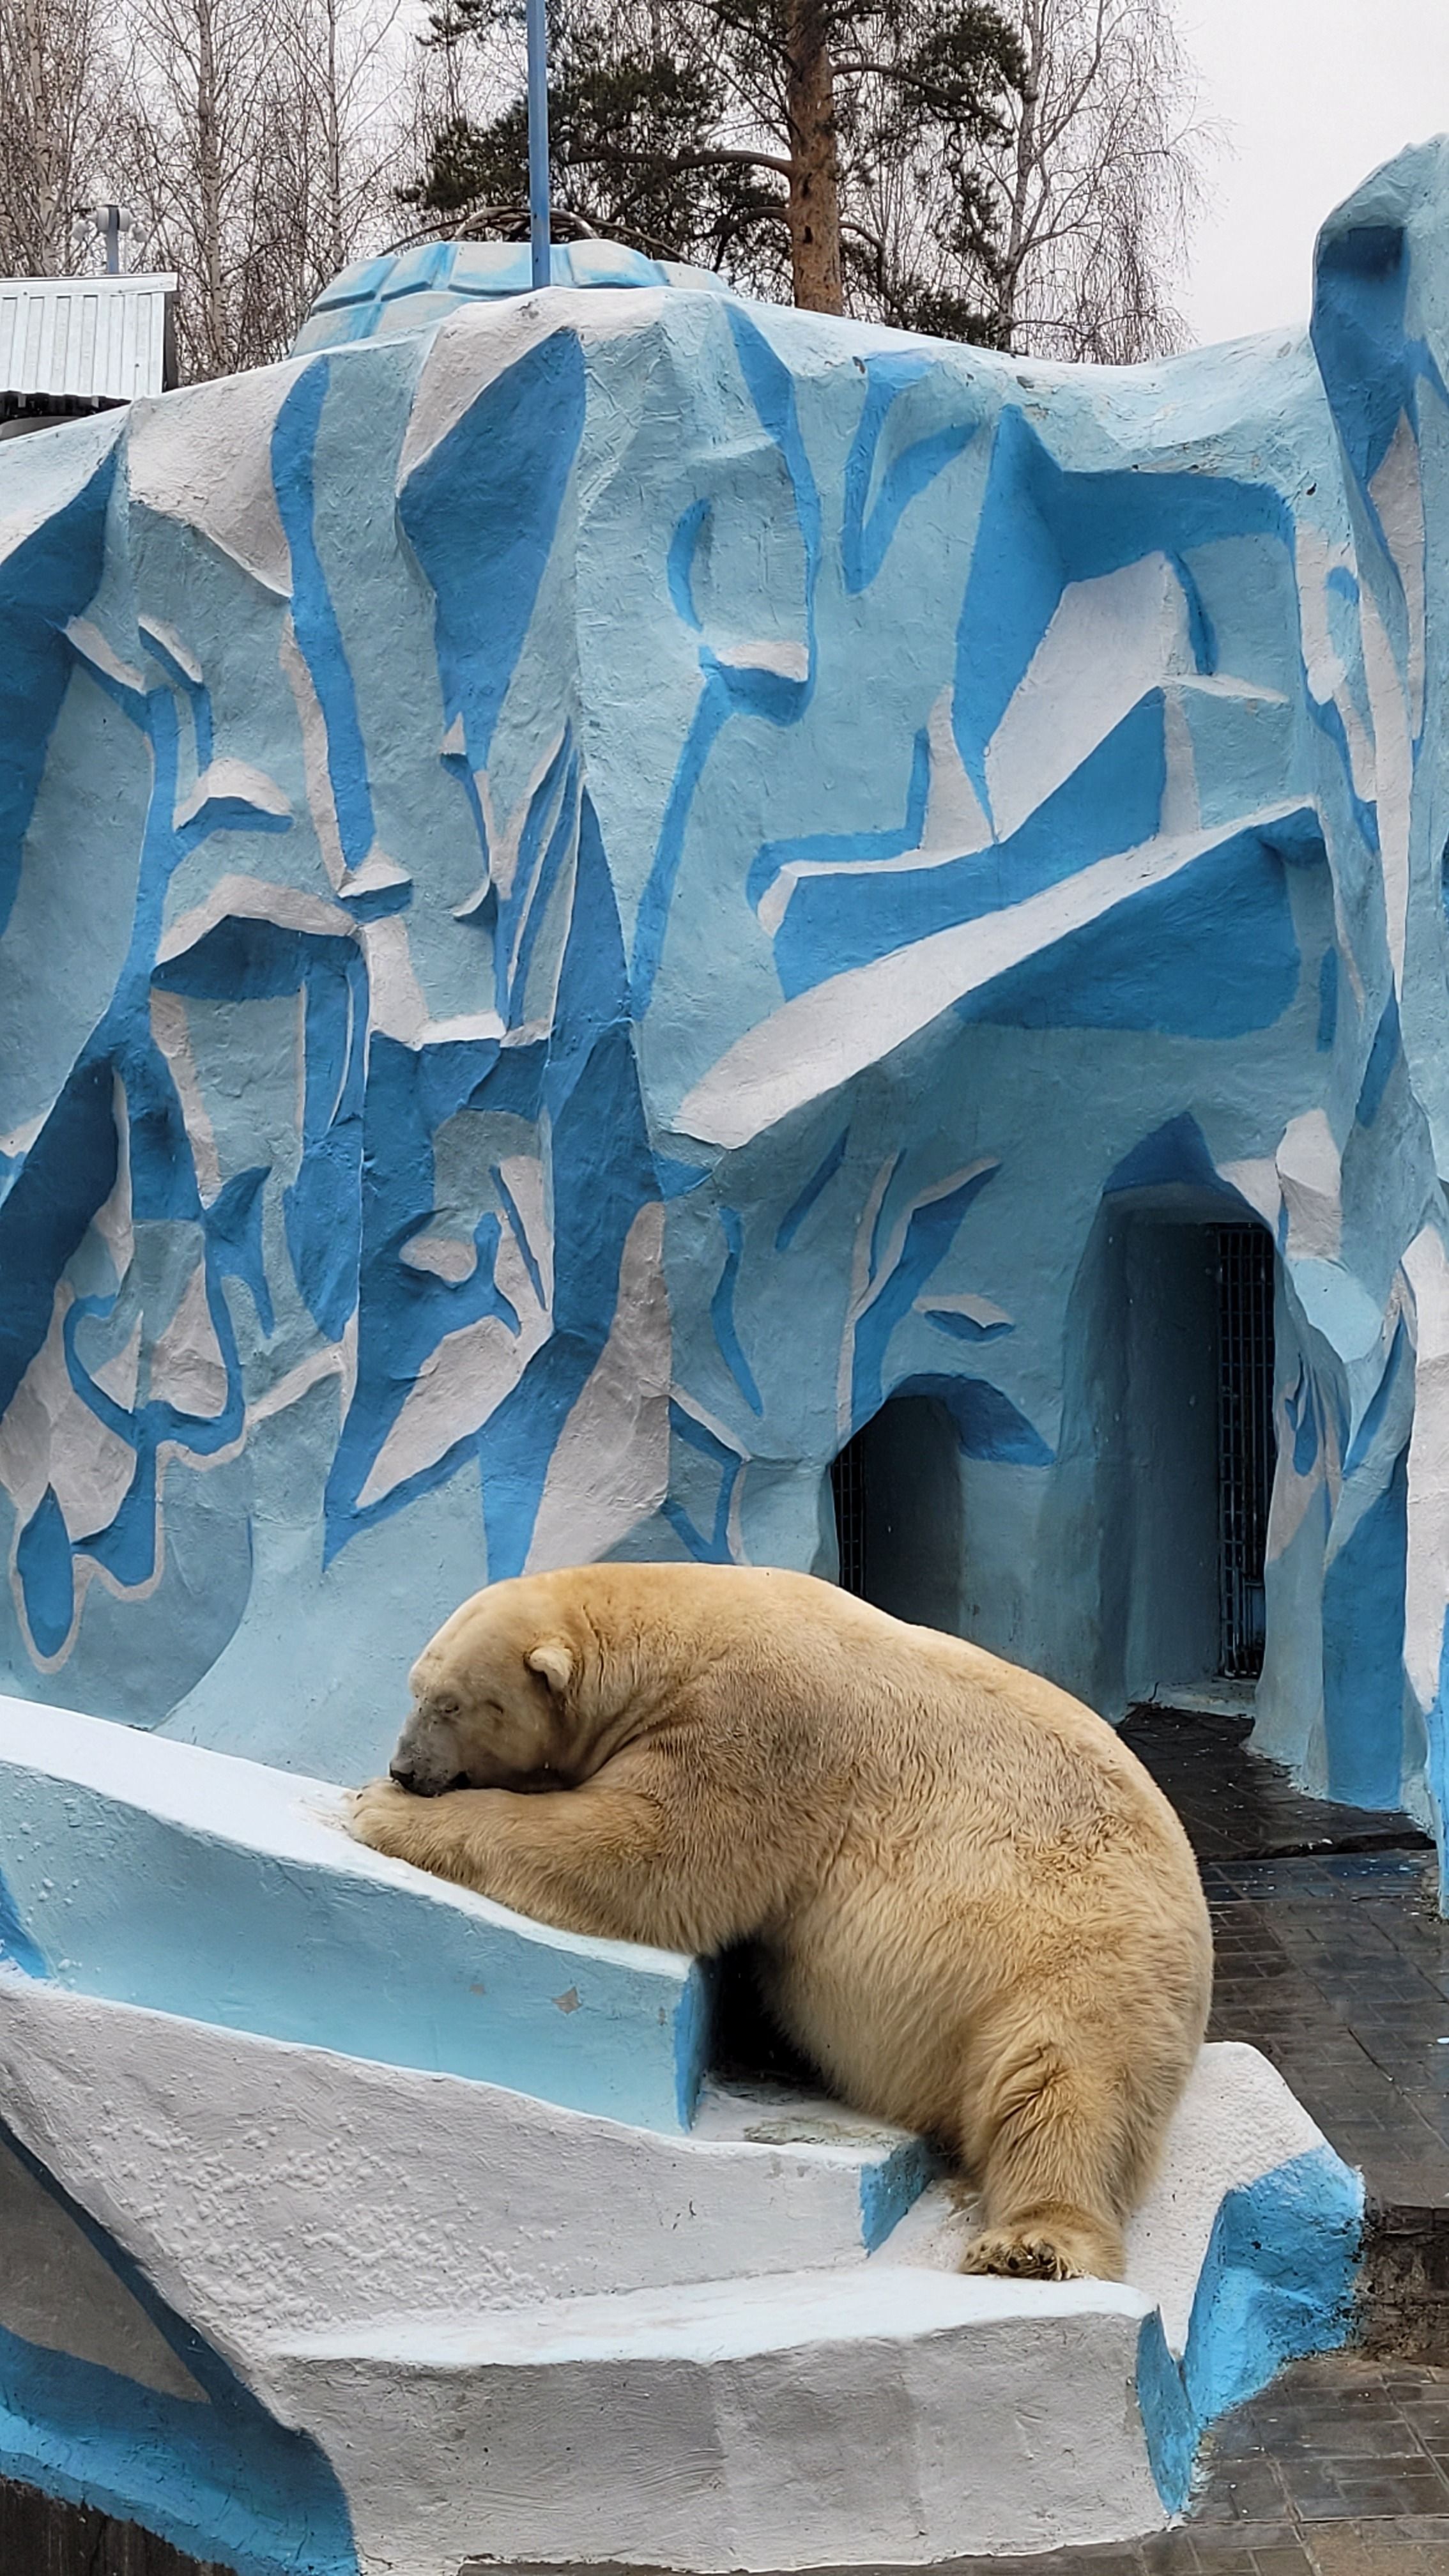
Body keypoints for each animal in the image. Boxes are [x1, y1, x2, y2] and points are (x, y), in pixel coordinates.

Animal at [349, 1561, 1212, 2281]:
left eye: (450, 1702)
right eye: (414, 1688)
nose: (404, 1768)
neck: (670, 1631)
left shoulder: (756, 1729)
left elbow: (648, 1857)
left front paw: (377, 1809)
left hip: (1073, 1955)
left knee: (1061, 2084)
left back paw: (1032, 2243)